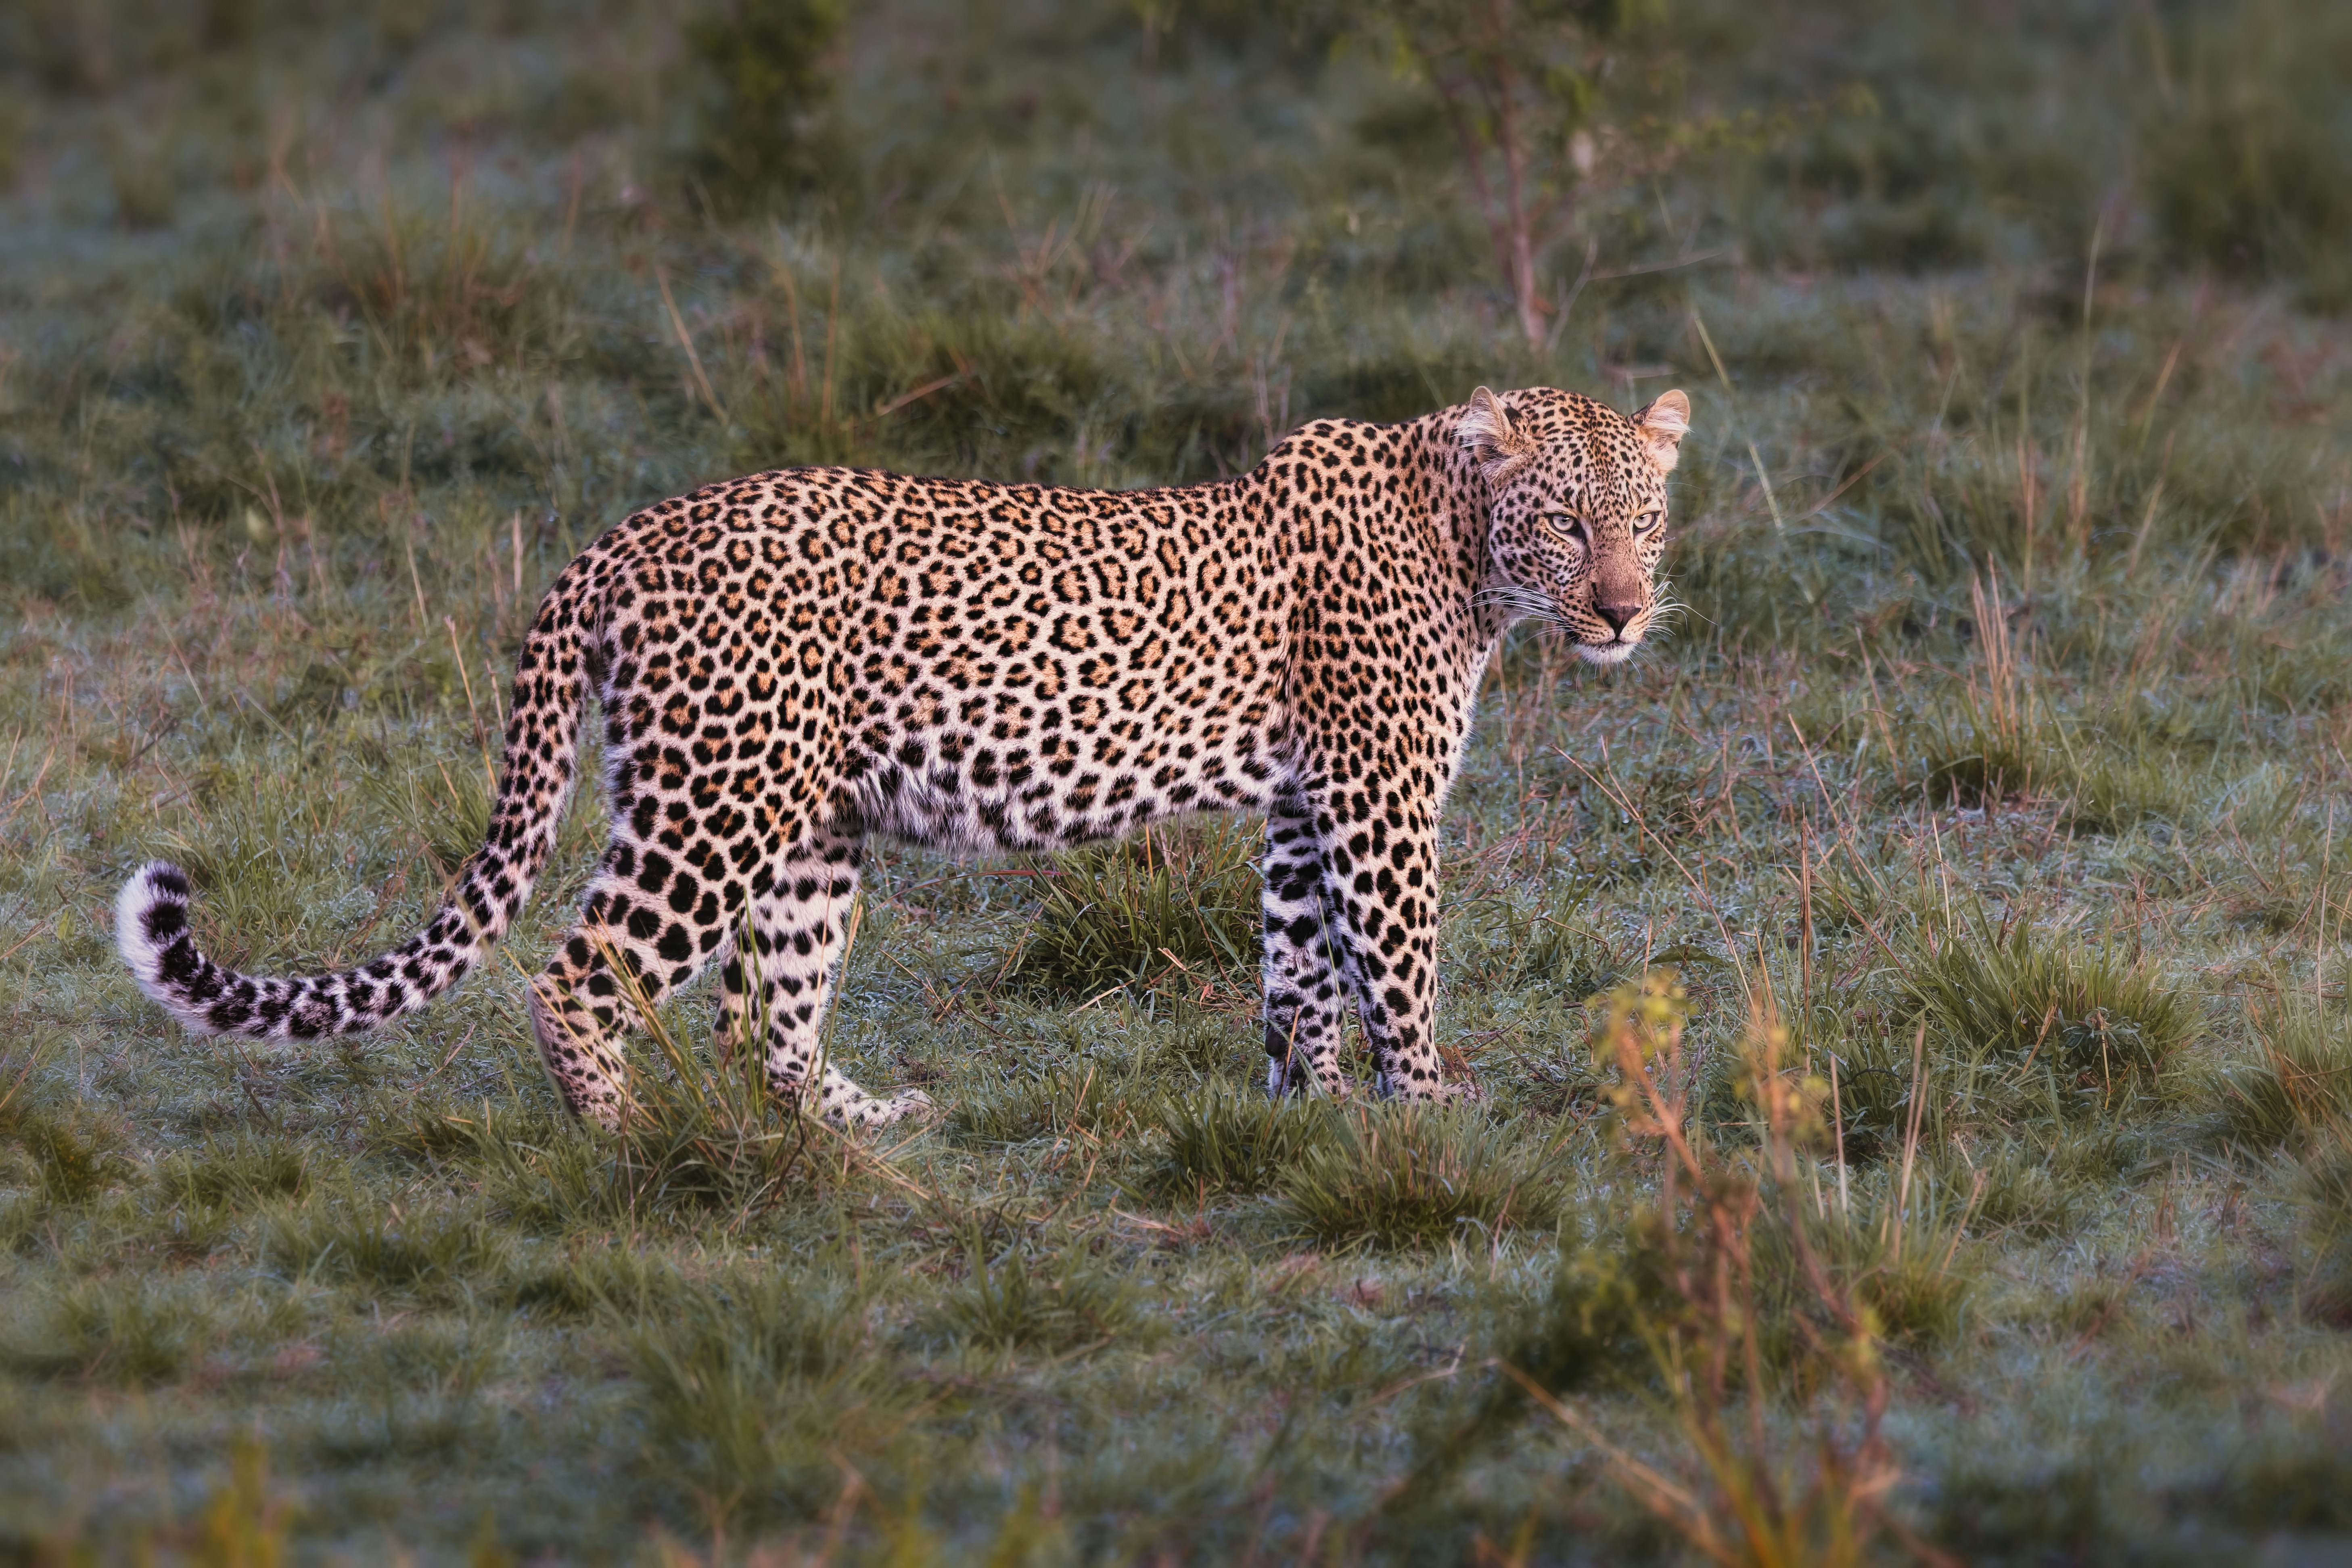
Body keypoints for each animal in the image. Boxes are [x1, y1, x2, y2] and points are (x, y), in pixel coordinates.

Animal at [115, 383, 1689, 1129]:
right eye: (1564, 523)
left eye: (1645, 520)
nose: (1623, 609)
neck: (1463, 544)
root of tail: (623, 534)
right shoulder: (1375, 795)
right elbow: (1399, 959)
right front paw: (1426, 1102)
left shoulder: (1304, 803)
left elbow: (1299, 963)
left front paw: (1306, 1107)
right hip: (710, 808)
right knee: (581, 973)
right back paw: (619, 1143)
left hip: (807, 831)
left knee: (764, 1020)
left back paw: (848, 1129)